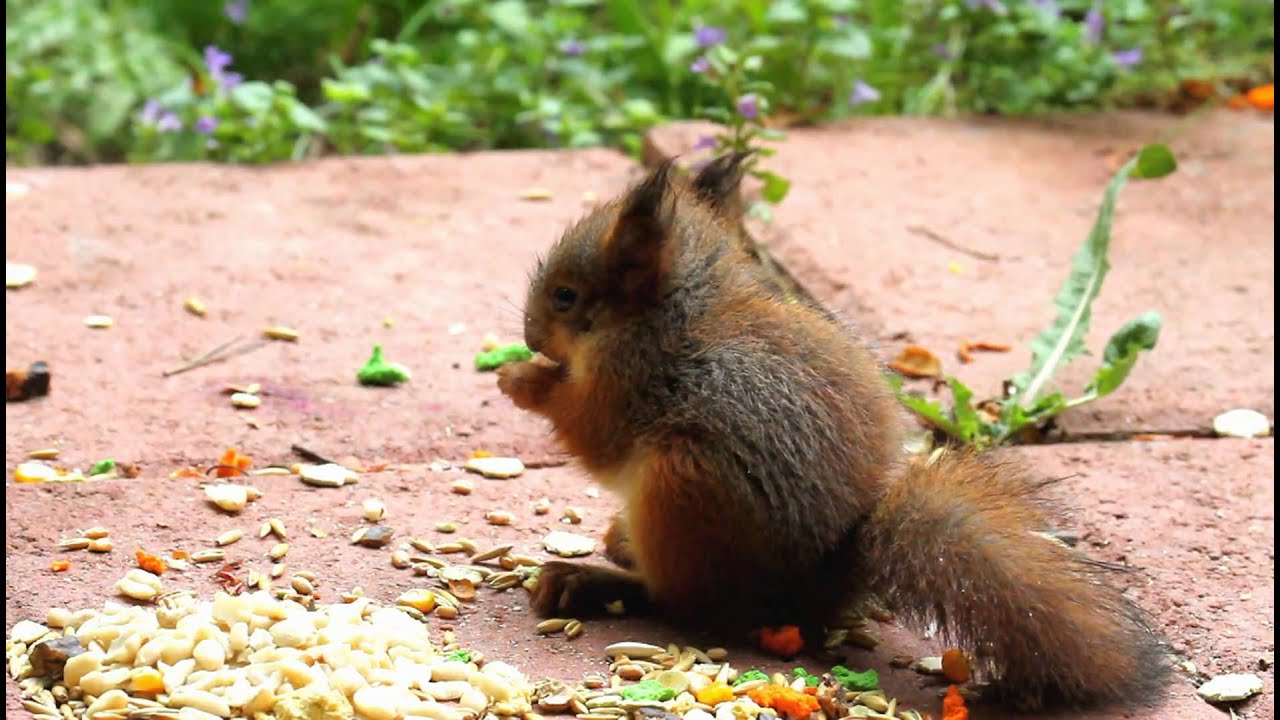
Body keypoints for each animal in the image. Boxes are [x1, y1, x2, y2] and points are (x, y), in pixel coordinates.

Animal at [496, 153, 1171, 710]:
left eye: (565, 296)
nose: (528, 335)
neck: (666, 315)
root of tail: (815, 589)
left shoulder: (631, 382)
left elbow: (593, 435)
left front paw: (520, 379)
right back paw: (615, 544)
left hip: (681, 489)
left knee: (686, 604)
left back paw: (594, 581)